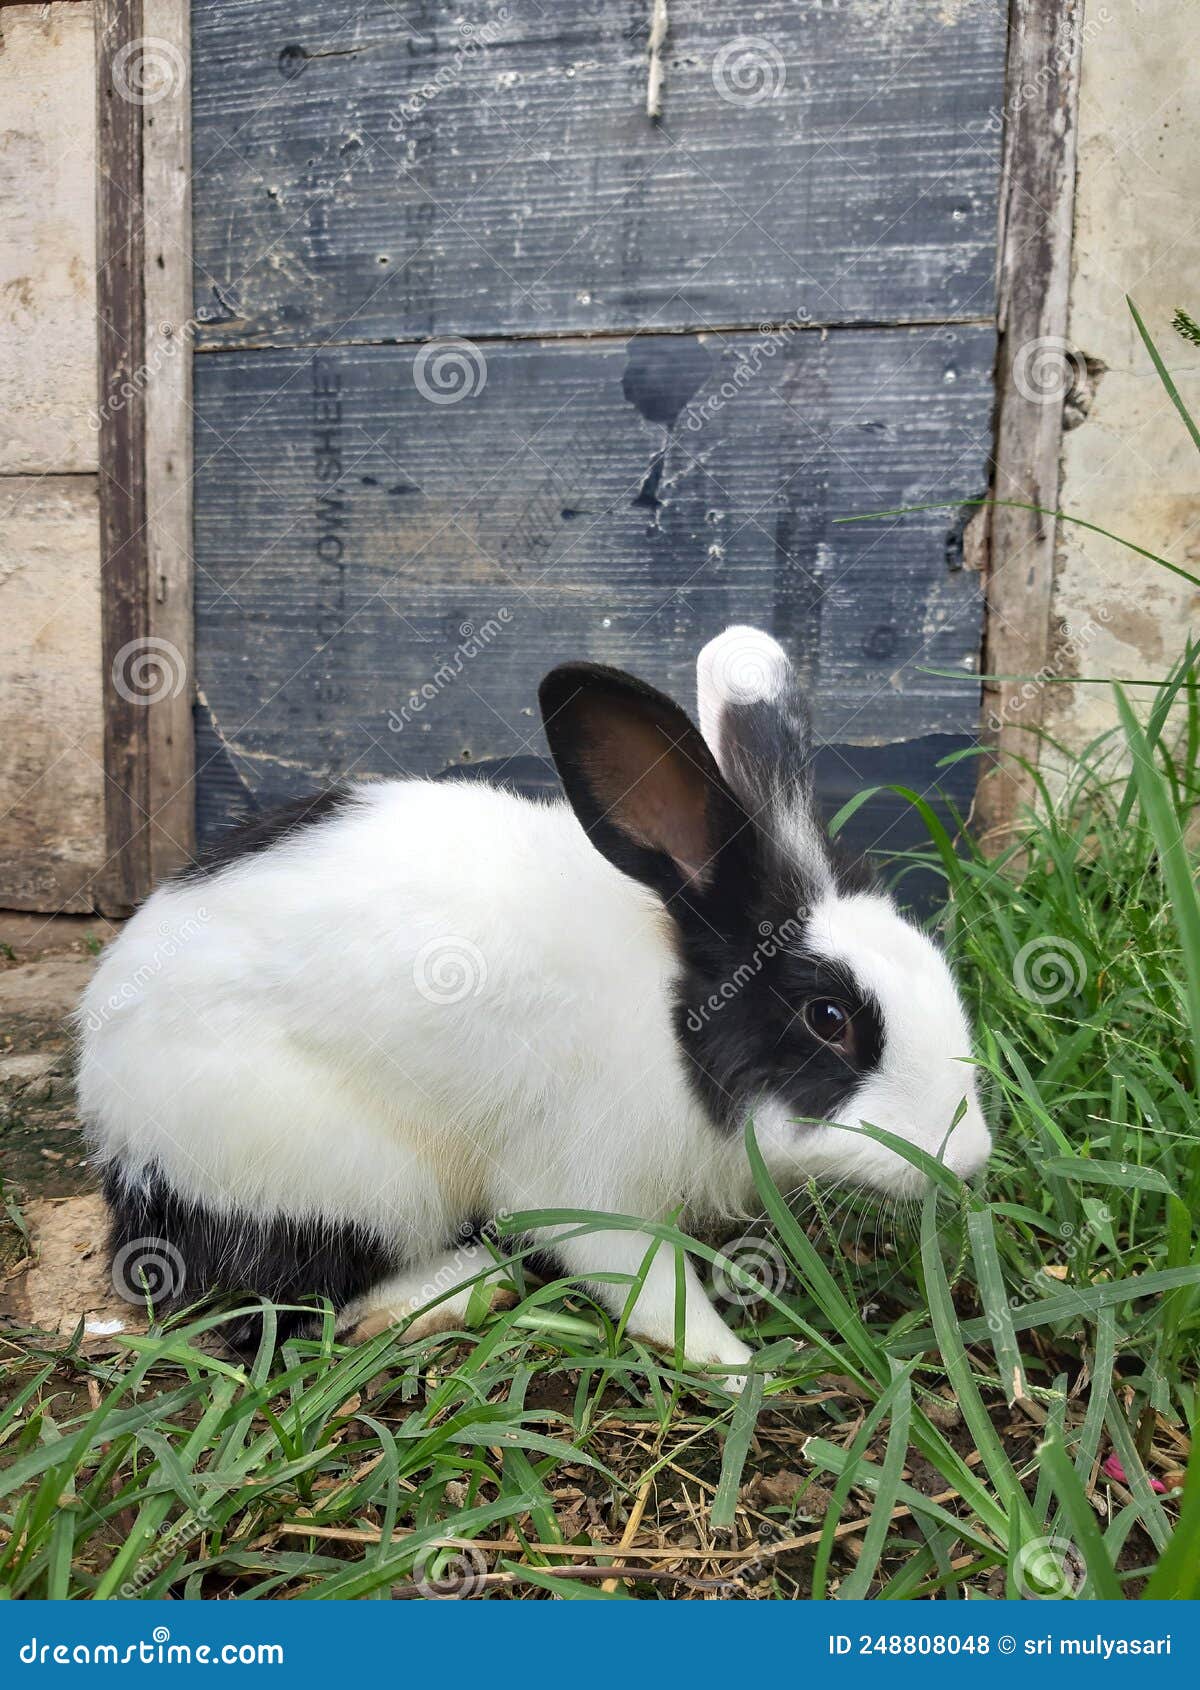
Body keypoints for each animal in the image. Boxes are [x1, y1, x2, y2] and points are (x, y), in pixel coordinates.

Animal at [77, 625, 991, 1382]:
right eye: (828, 1019)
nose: (972, 1157)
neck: (671, 1021)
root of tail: (113, 1125)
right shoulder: (587, 1183)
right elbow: (646, 1279)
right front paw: (737, 1367)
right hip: (359, 1176)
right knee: (299, 1298)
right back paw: (444, 1293)